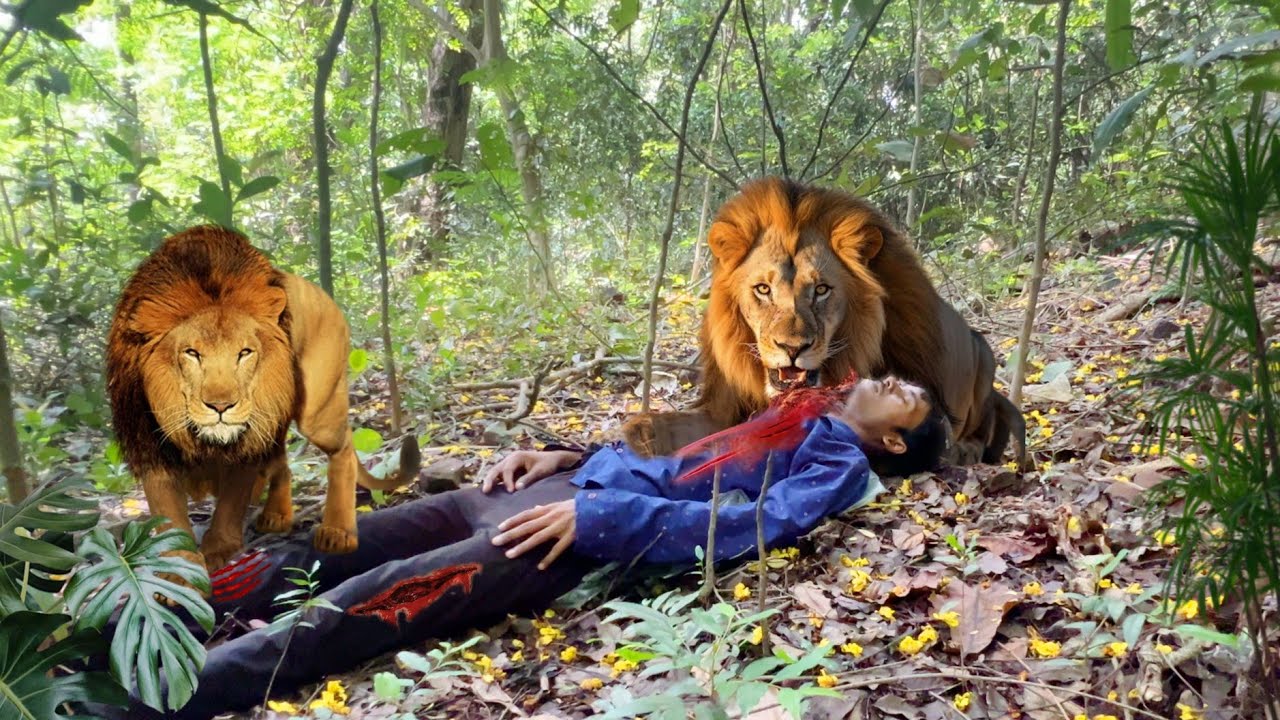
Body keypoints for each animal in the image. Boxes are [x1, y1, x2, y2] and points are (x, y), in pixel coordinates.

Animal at [106, 226, 420, 572]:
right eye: (191, 353)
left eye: (245, 353)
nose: (220, 406)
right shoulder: (149, 445)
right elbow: (168, 518)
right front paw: (179, 574)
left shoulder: (248, 443)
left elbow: (230, 504)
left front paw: (218, 550)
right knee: (282, 459)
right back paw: (276, 516)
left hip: (316, 413)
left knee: (344, 449)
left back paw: (338, 532)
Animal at [624, 177, 1025, 468]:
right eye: (763, 289)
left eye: (820, 290)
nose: (792, 348)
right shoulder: (726, 408)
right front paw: (641, 432)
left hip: (983, 354)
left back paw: (969, 449)